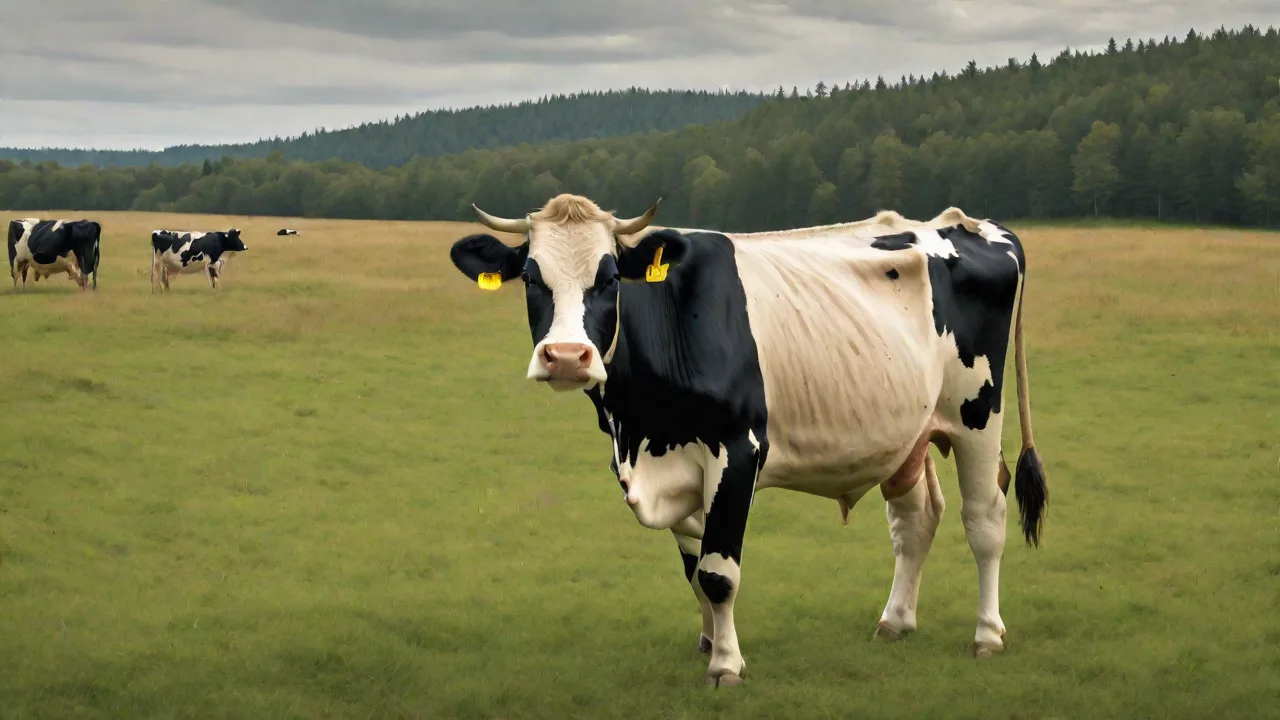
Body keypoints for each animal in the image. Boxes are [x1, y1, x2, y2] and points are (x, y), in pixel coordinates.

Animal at [447, 194, 1049, 687]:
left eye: (611, 277)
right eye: (531, 278)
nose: (569, 357)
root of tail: (973, 223)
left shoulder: (737, 451)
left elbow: (718, 572)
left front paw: (726, 666)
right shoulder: (678, 463)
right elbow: (693, 570)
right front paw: (709, 641)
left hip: (979, 415)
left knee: (984, 519)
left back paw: (987, 634)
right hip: (908, 434)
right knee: (915, 520)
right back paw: (896, 621)